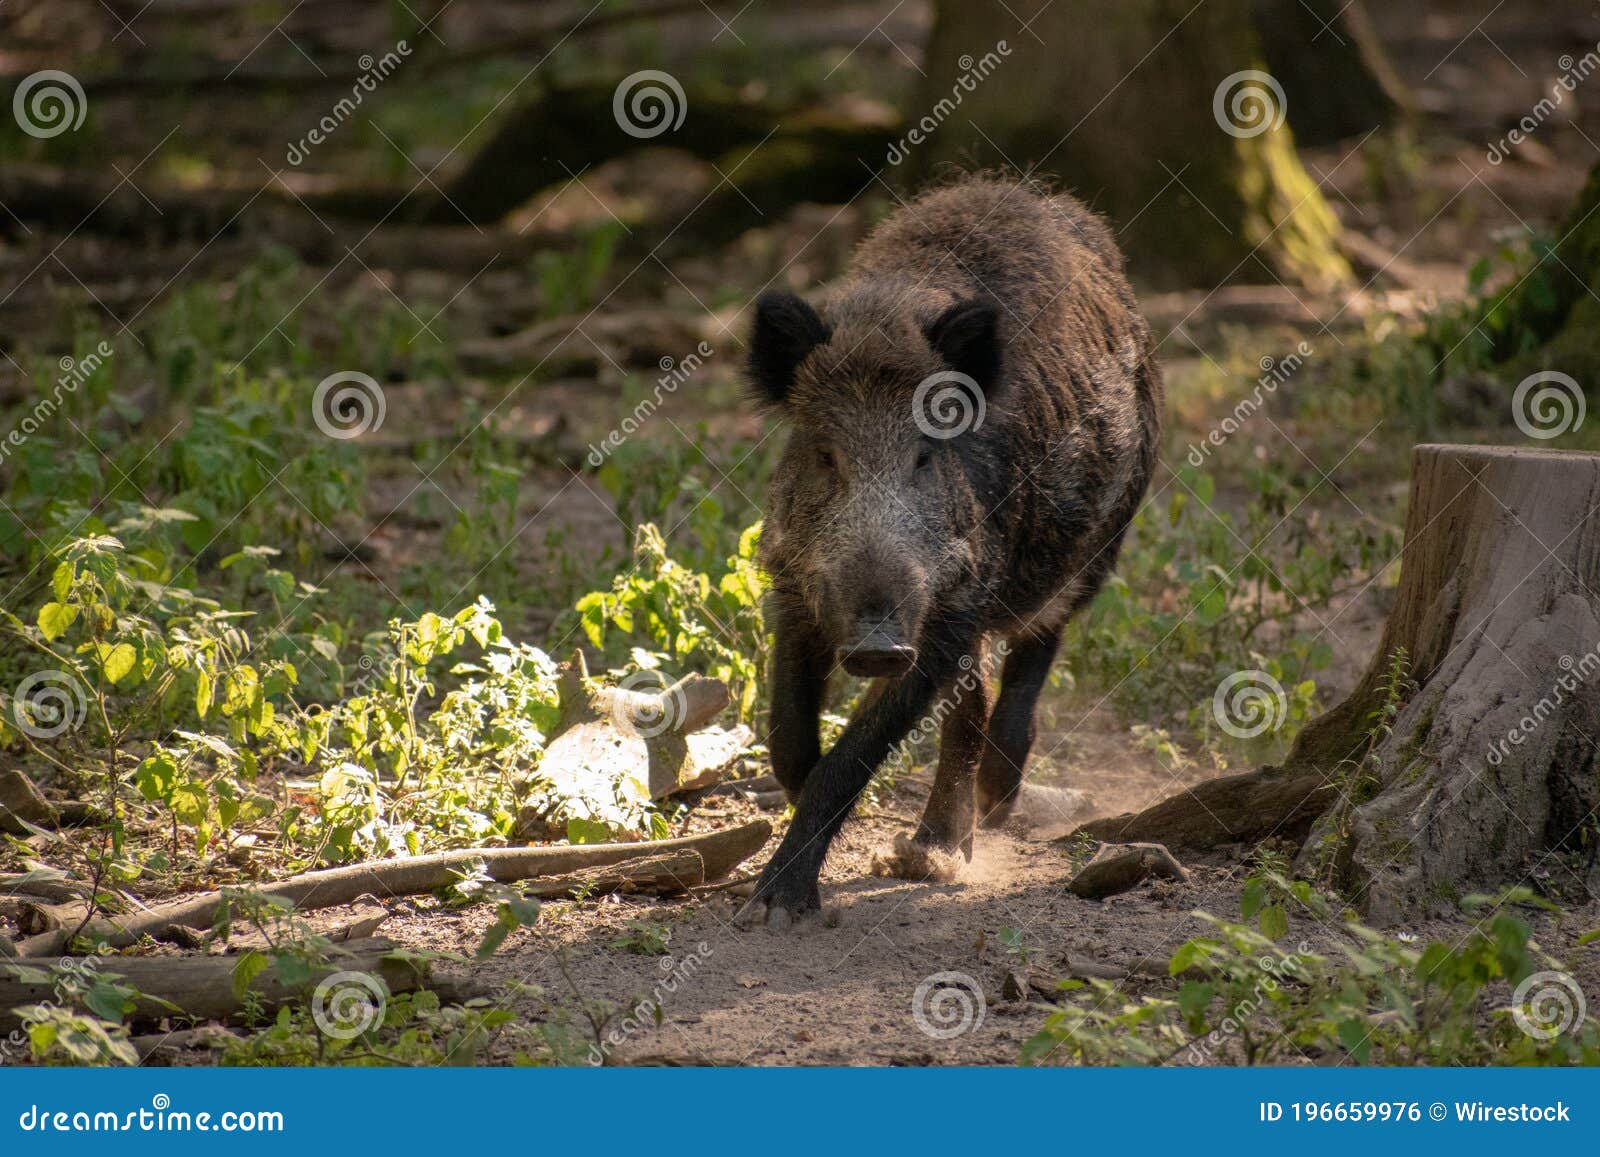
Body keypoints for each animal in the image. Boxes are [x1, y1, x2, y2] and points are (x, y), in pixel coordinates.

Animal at [739, 176, 1164, 929]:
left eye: (924, 457)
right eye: (824, 454)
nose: (876, 640)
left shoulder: (947, 614)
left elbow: (859, 750)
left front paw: (776, 911)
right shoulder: (791, 581)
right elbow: (789, 735)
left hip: (1098, 544)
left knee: (1033, 652)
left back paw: (976, 822)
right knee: (977, 690)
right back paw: (935, 850)